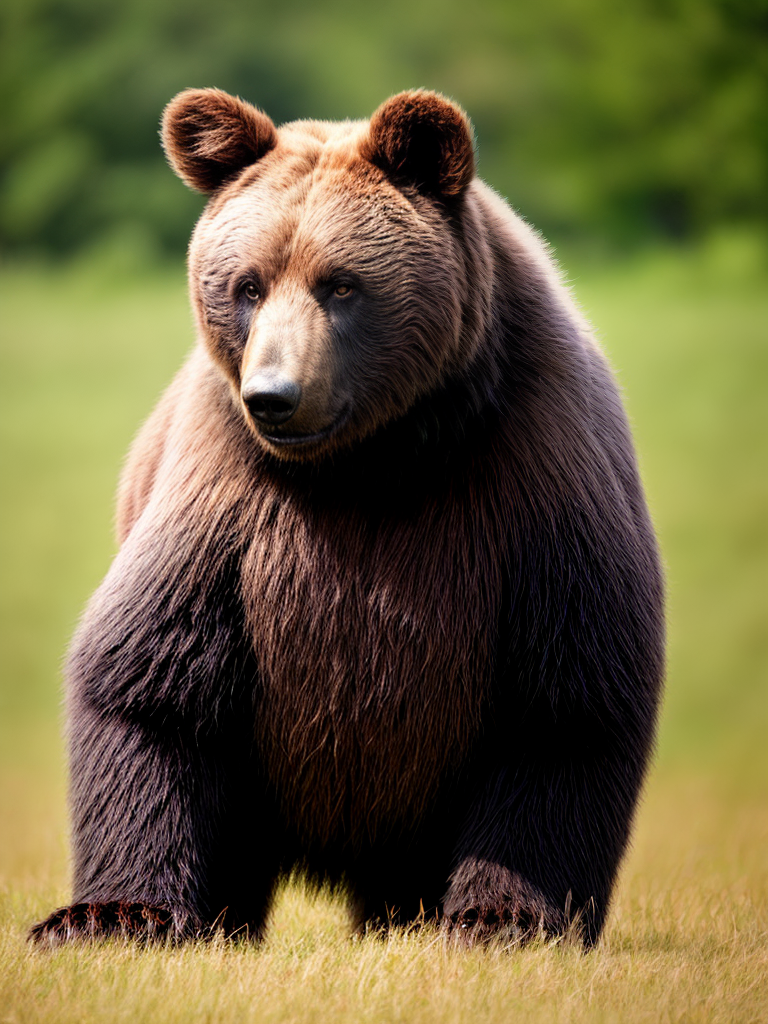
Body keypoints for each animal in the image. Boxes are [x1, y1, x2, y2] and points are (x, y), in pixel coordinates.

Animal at [30, 88, 664, 949]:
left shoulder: (535, 473)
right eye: (248, 284)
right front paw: (113, 913)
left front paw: (501, 914)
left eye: (341, 284)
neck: (375, 459)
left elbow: (566, 701)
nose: (275, 395)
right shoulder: (227, 498)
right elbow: (149, 680)